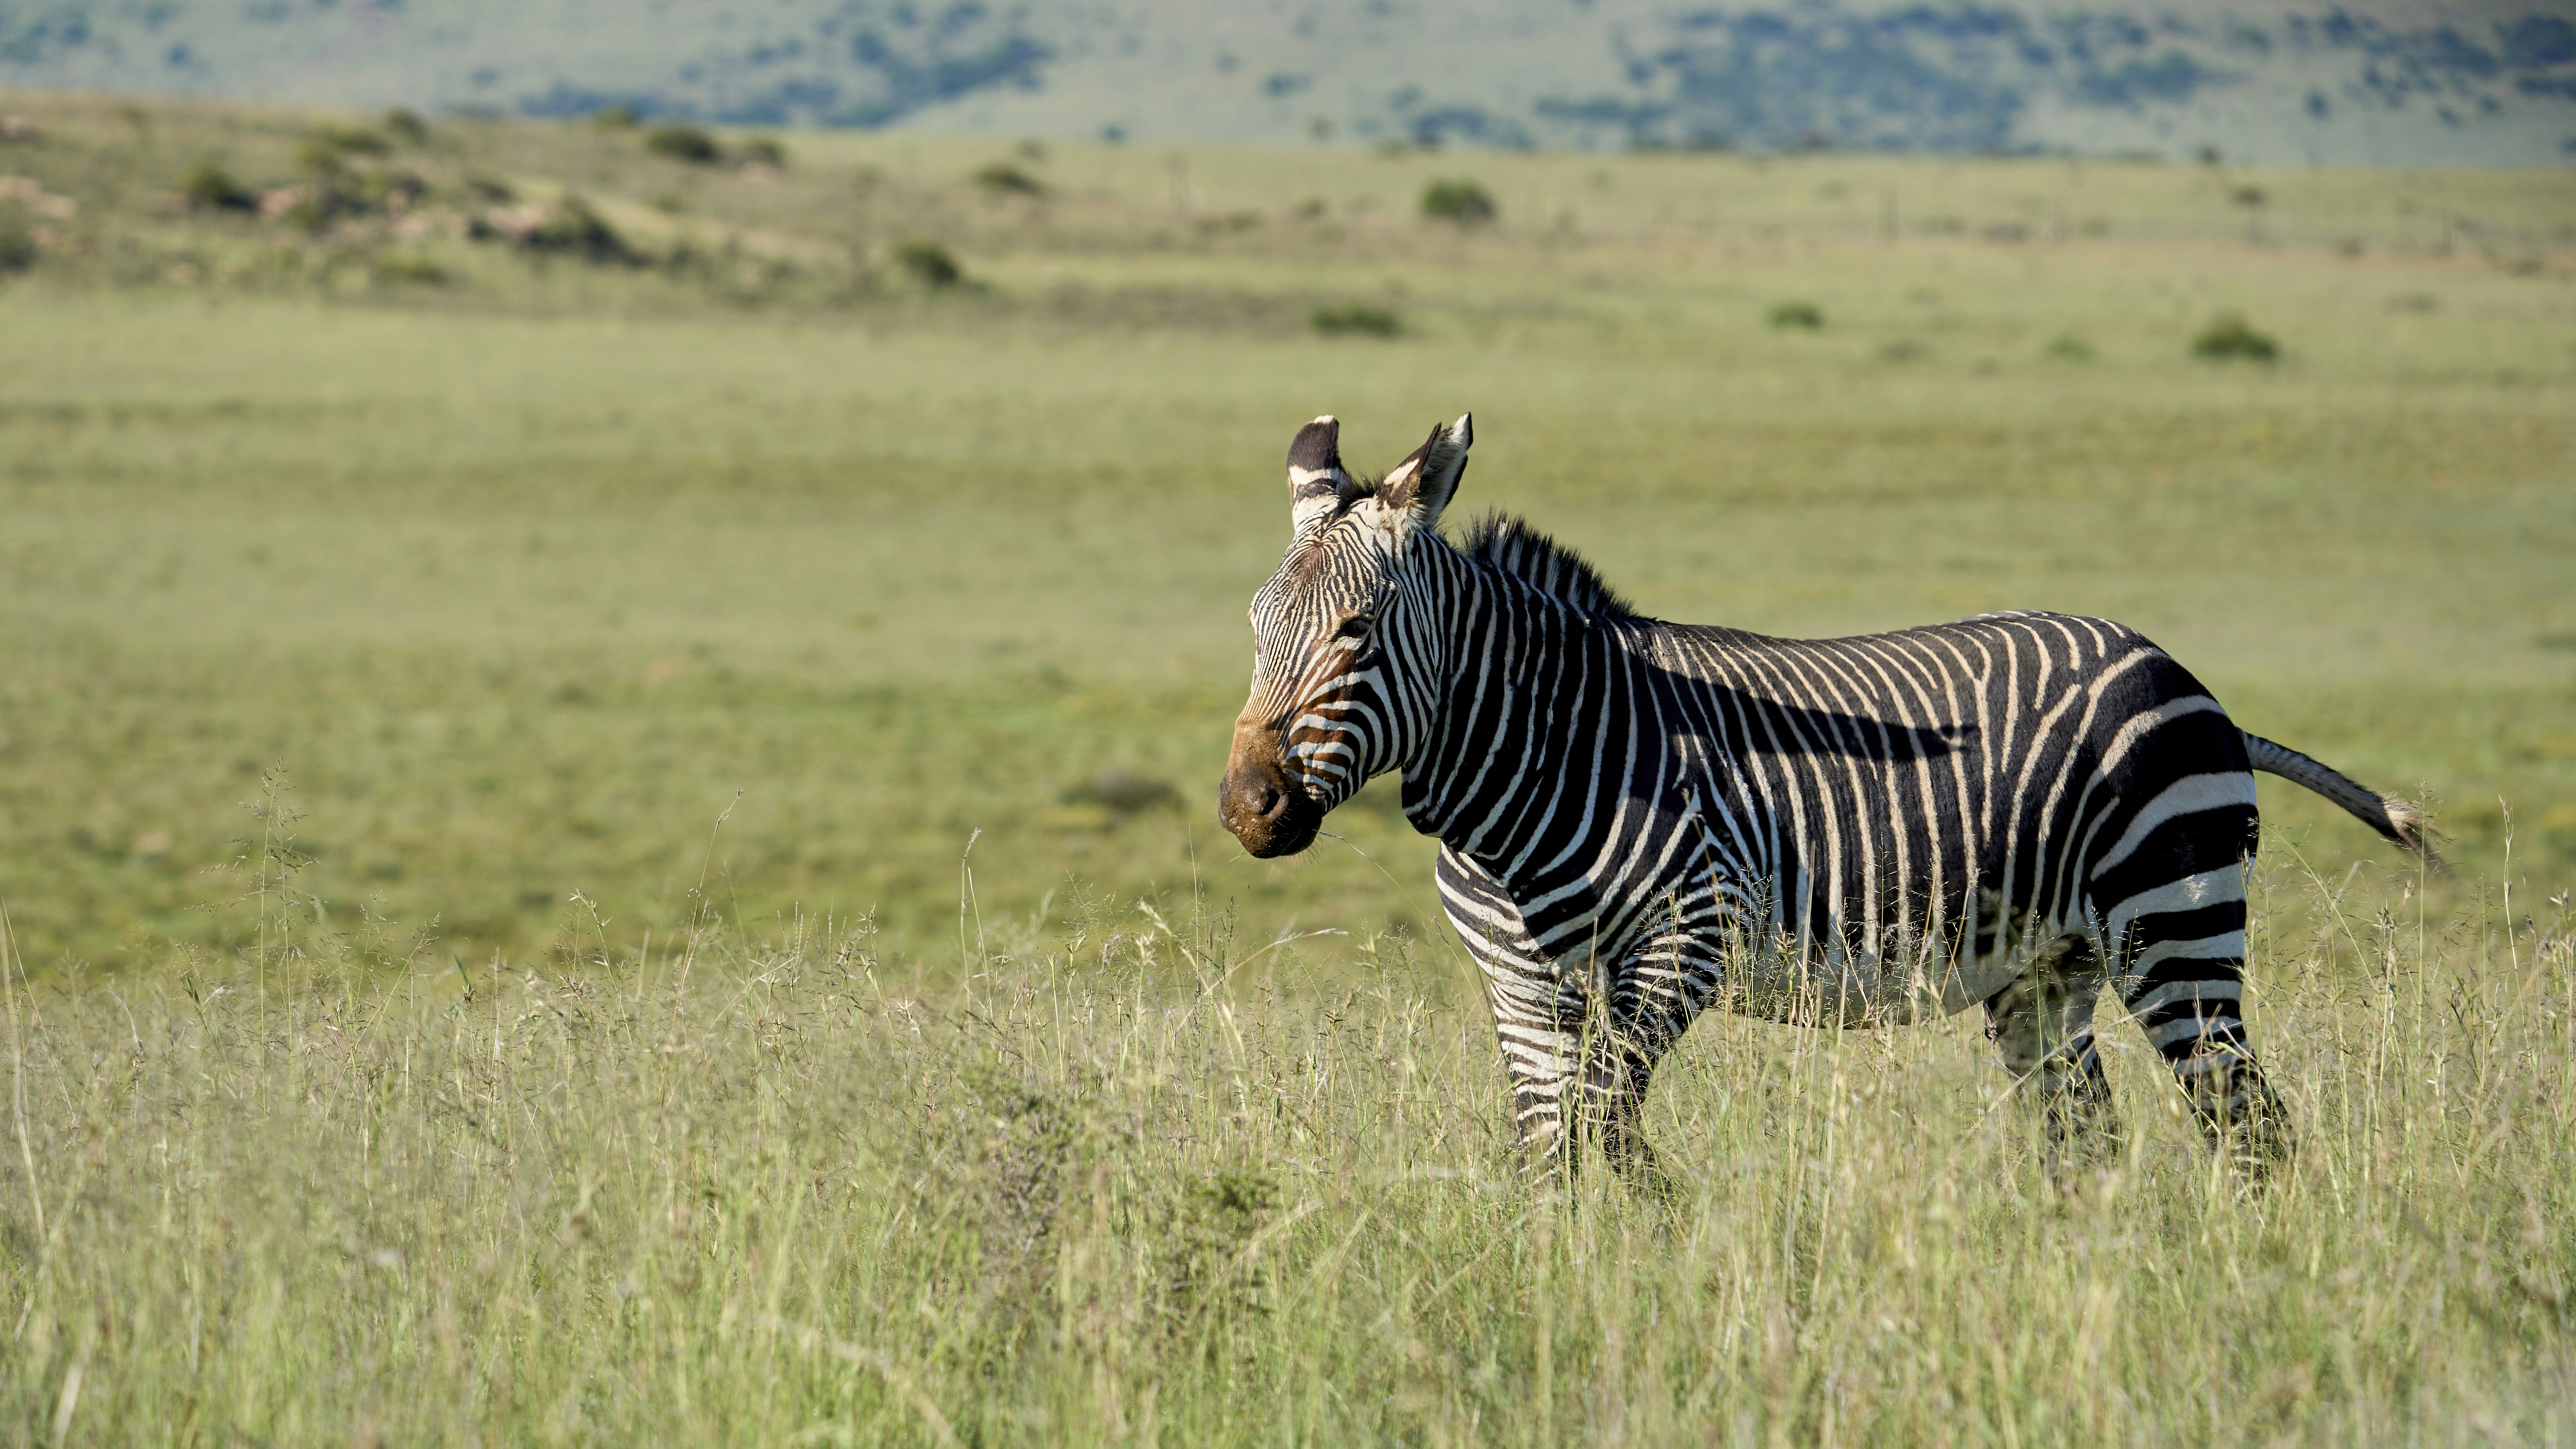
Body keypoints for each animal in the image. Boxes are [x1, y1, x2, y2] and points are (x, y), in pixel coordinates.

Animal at [1217, 413, 2436, 1180]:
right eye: (1255, 625)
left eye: (1355, 630)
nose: (1247, 808)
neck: (1516, 781)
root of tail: (2180, 672)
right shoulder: (1520, 984)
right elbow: (1548, 1148)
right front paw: (1559, 1282)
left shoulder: (1683, 941)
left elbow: (1605, 1128)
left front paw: (1657, 1253)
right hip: (2046, 970)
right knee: (2084, 1132)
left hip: (2174, 922)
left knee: (2246, 1120)